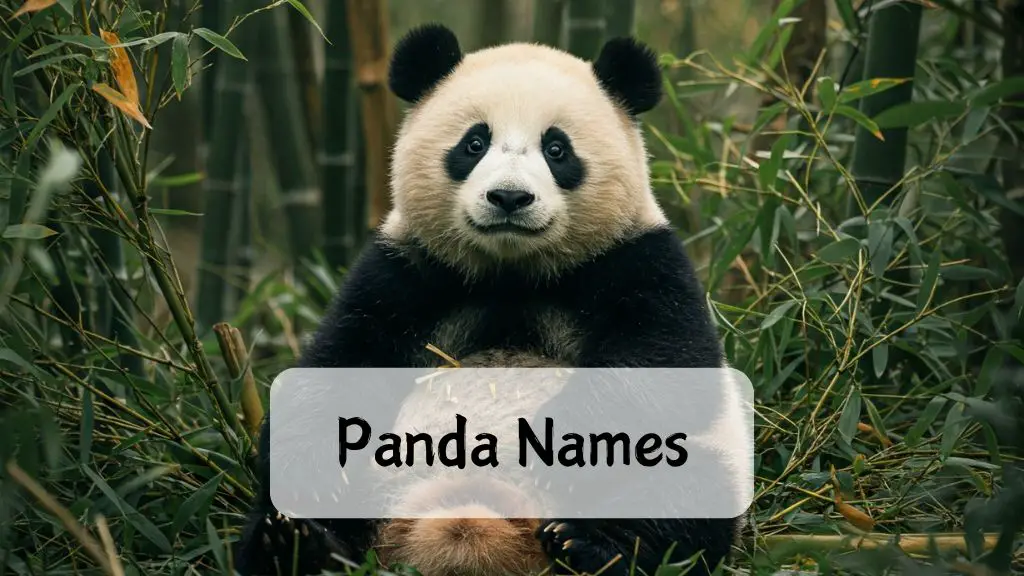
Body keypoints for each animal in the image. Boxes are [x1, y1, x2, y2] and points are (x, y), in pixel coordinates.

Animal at [234, 23, 751, 576]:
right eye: (474, 142)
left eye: (557, 149)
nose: (509, 197)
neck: (512, 272)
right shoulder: (407, 270)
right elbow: (340, 363)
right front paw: (315, 476)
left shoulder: (638, 260)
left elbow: (664, 366)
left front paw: (558, 442)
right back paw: (294, 544)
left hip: (699, 462)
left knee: (681, 499)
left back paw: (588, 546)